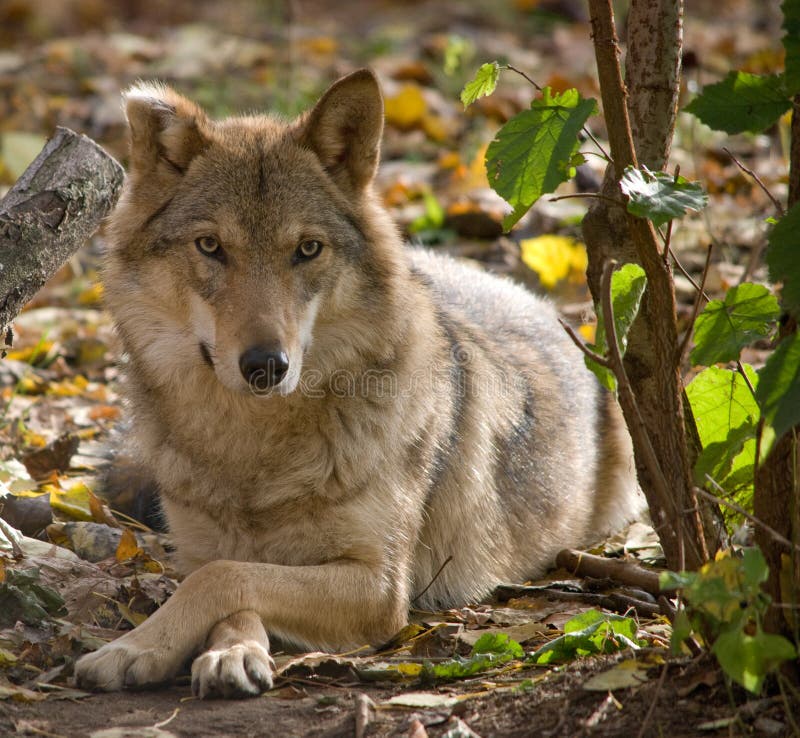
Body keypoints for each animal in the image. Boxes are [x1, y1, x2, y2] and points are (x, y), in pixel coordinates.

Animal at [75, 69, 641, 698]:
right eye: (210, 246)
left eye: (307, 249)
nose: (266, 366)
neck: (255, 454)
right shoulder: (199, 553)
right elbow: (224, 579)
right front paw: (216, 651)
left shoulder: (379, 586)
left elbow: (224, 579)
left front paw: (140, 647)